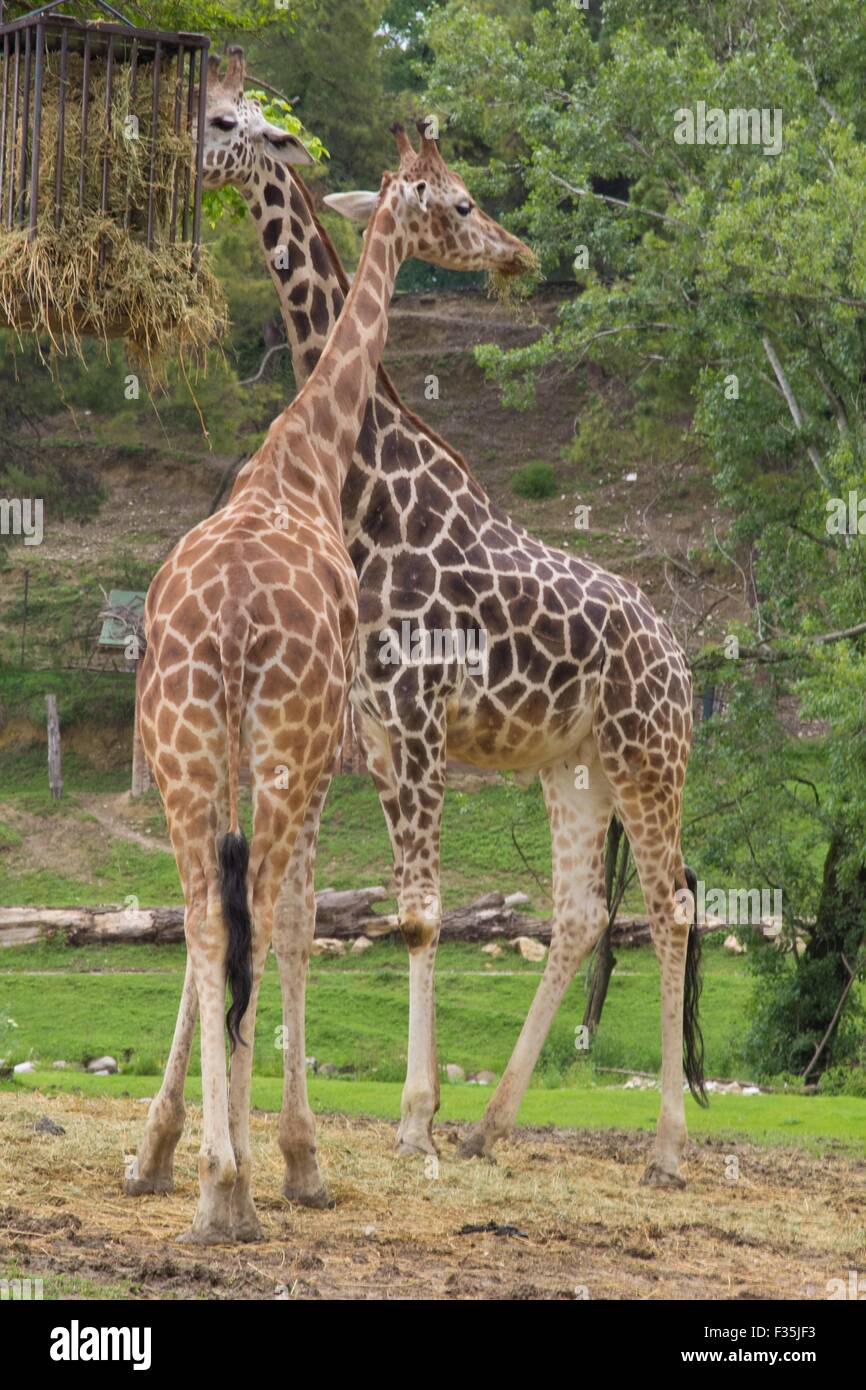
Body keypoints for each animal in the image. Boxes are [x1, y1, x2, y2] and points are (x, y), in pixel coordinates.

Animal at [124, 49, 534, 1237]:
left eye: (224, 117)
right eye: (459, 201)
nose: (517, 250)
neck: (303, 457)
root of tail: (224, 628)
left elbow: (232, 930)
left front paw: (175, 1149)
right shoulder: (331, 746)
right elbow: (299, 921)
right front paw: (289, 1156)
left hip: (189, 746)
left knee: (204, 919)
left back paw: (222, 1178)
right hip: (295, 744)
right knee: (265, 914)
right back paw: (247, 1181)